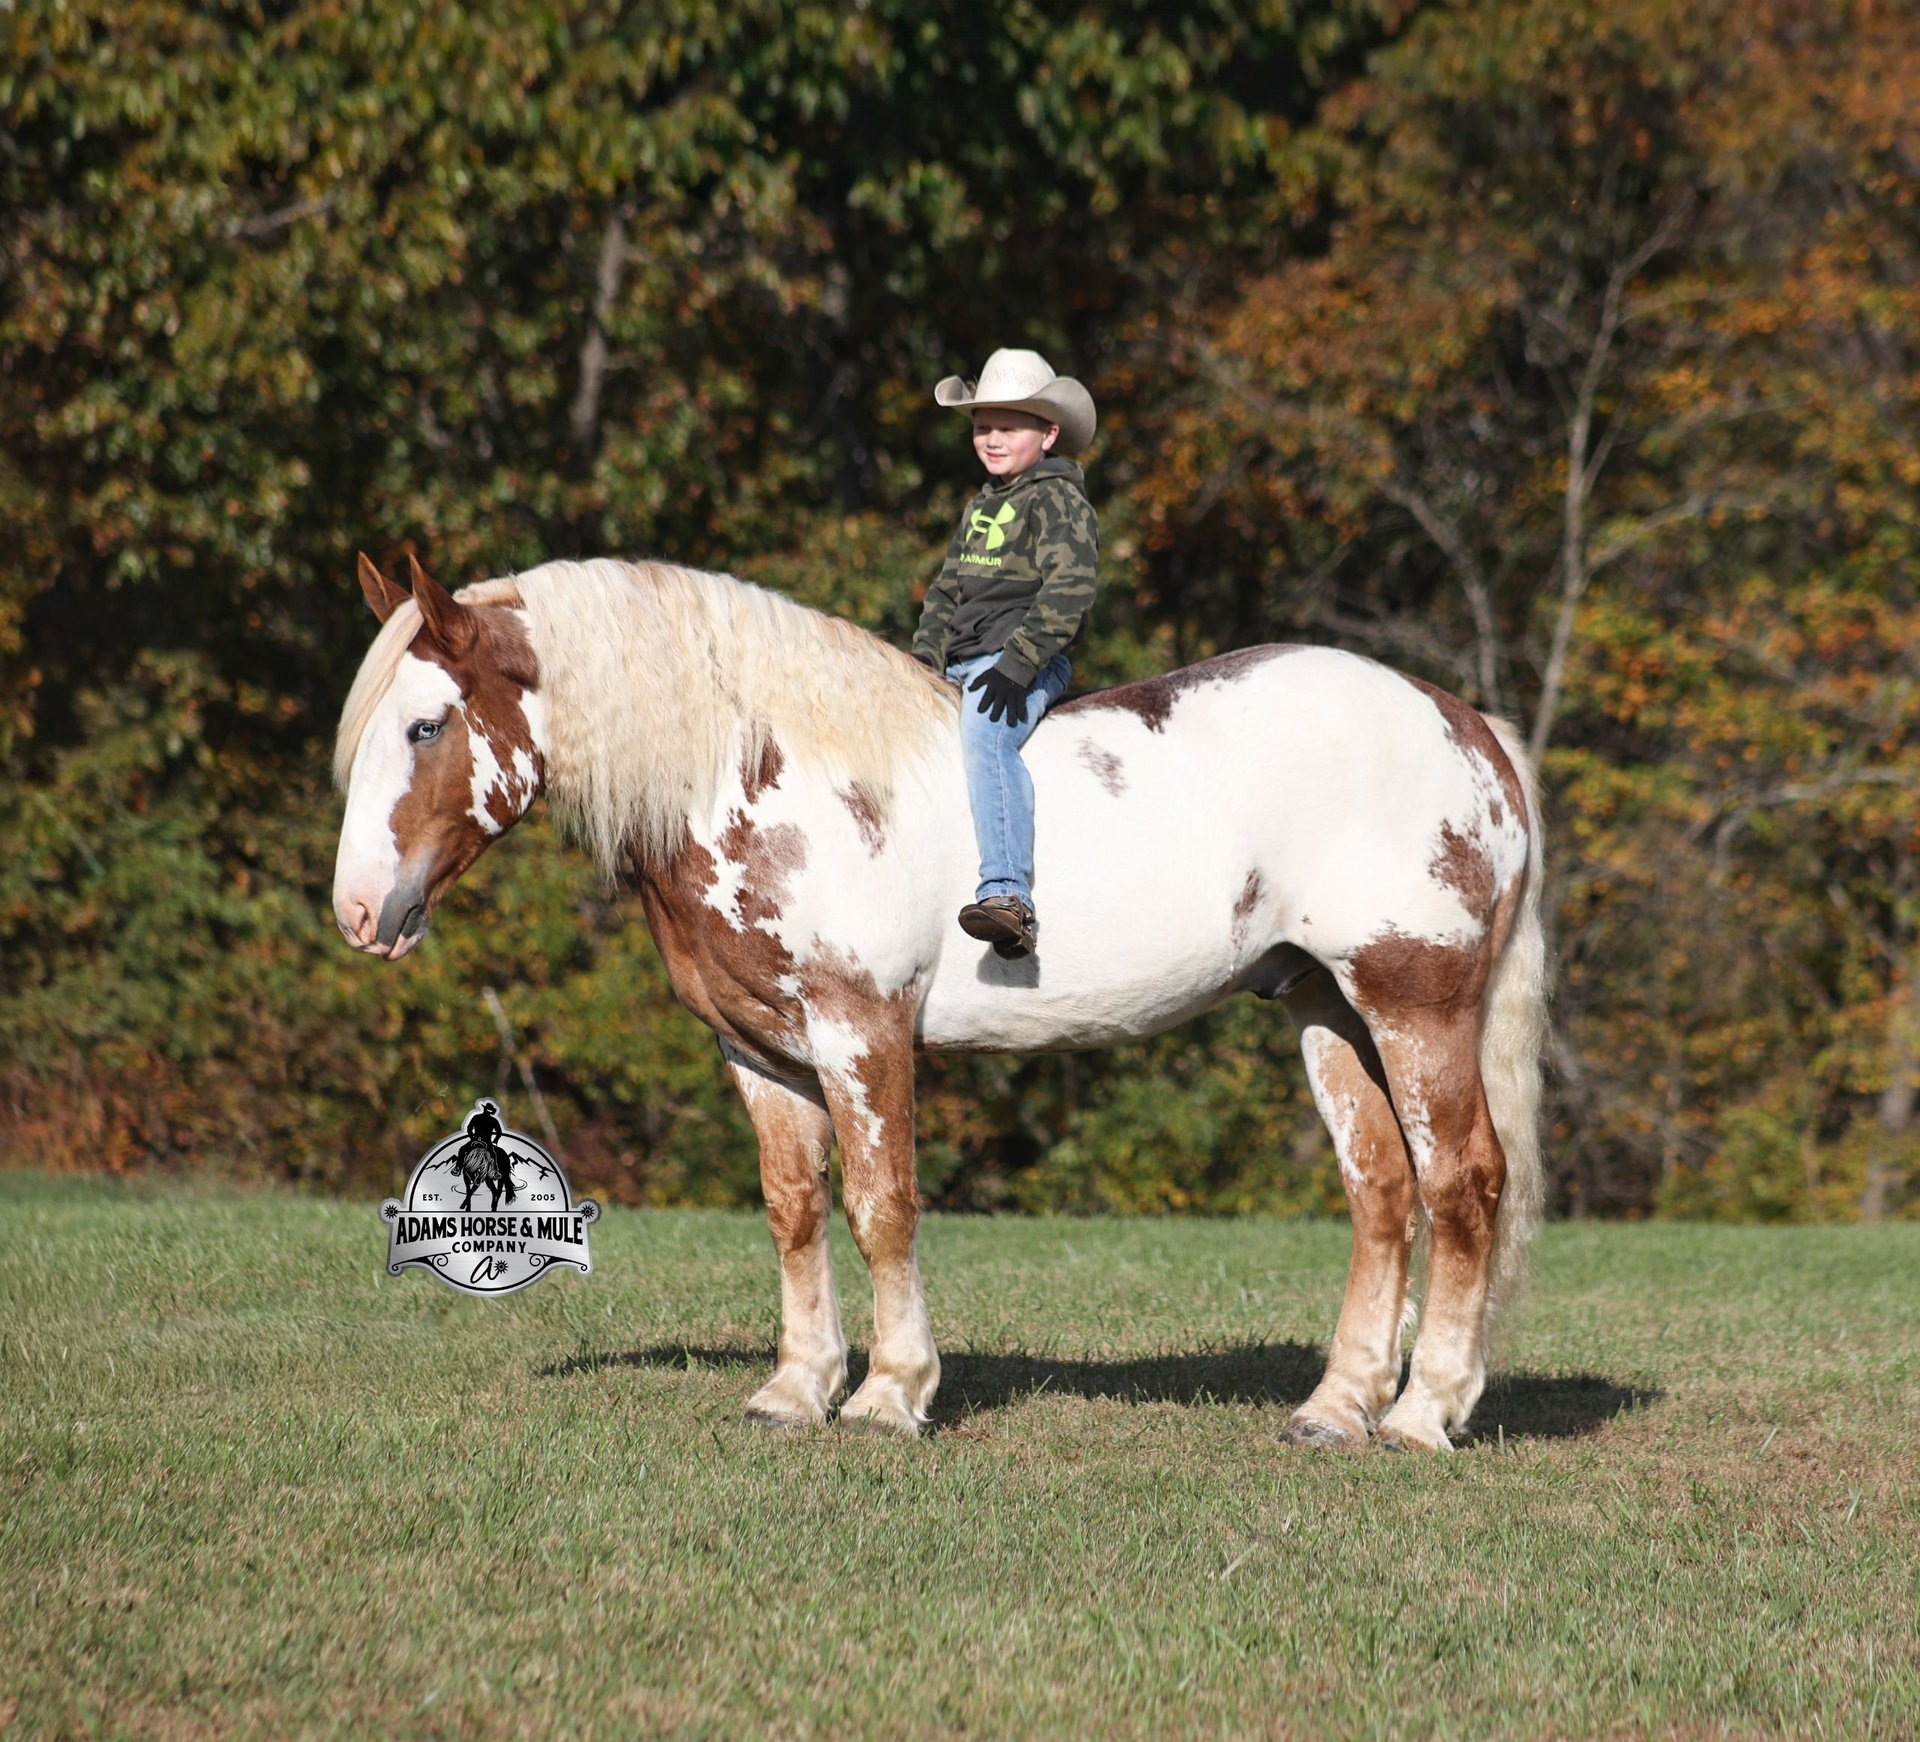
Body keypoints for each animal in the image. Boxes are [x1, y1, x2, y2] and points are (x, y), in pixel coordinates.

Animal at [333, 552, 1547, 1450]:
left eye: (427, 725)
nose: (358, 911)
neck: (764, 778)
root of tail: (1467, 725)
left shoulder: (861, 1032)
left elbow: (883, 1205)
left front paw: (889, 1393)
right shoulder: (762, 1055)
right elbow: (795, 1209)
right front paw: (796, 1389)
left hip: (1415, 1000)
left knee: (1464, 1183)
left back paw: (1425, 1410)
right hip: (1327, 1008)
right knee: (1382, 1192)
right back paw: (1338, 1408)